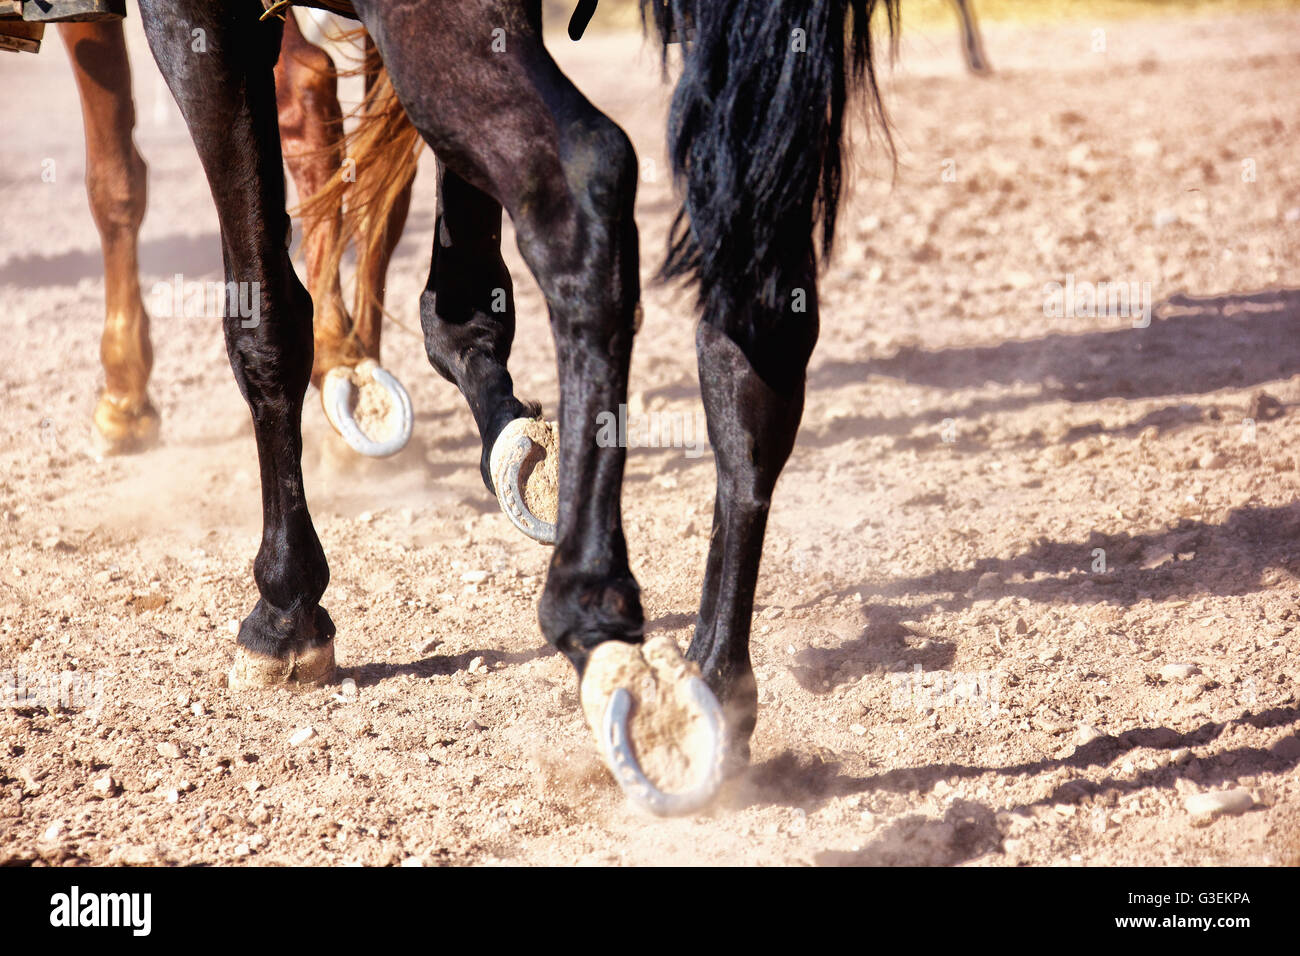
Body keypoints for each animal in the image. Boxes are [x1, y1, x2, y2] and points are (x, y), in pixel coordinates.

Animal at [139, 0, 894, 816]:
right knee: (761, 323)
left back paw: (596, 621)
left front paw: (285, 610)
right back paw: (717, 683)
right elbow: (459, 301)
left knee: (583, 188)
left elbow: (267, 326)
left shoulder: (204, 23)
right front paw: (516, 440)